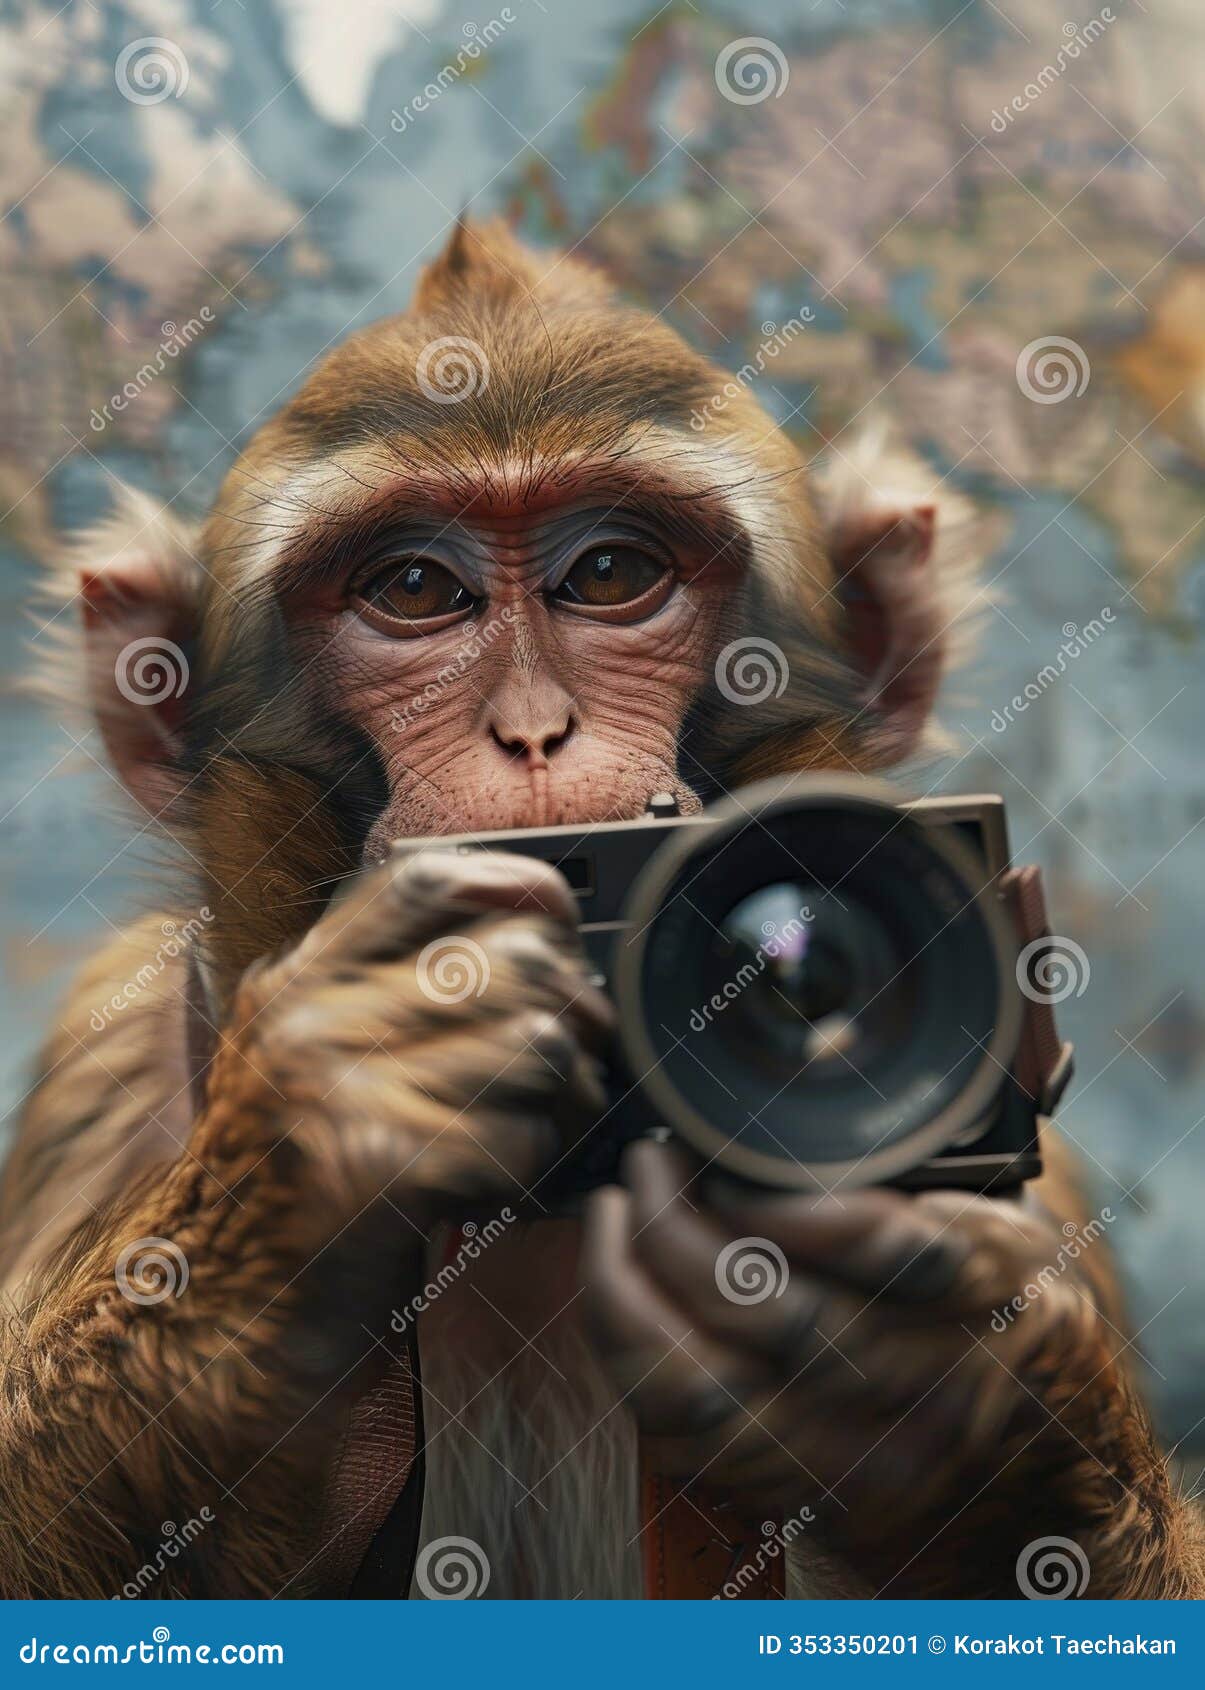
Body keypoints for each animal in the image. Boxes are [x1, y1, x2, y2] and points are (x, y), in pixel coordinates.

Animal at [2, 218, 1203, 1601]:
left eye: (612, 572)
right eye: (413, 590)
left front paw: (962, 1402)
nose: (532, 731)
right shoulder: (112, 1067)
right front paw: (298, 1162)